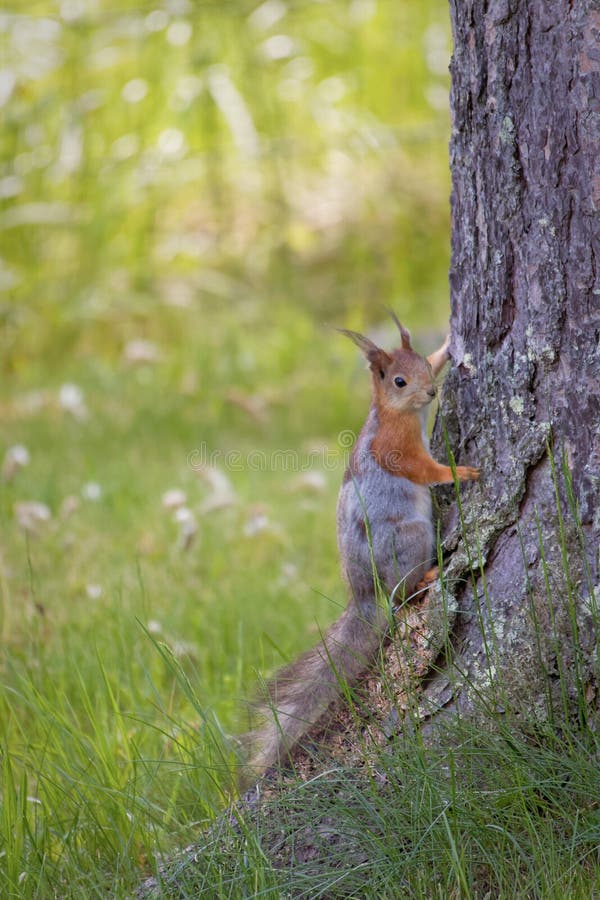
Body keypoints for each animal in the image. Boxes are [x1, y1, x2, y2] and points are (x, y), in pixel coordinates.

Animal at [247, 312, 479, 773]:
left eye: (421, 367)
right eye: (399, 381)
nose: (431, 392)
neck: (393, 412)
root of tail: (366, 591)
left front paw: (446, 343)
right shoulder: (395, 448)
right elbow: (422, 470)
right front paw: (459, 472)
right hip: (411, 538)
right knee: (403, 594)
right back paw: (426, 576)